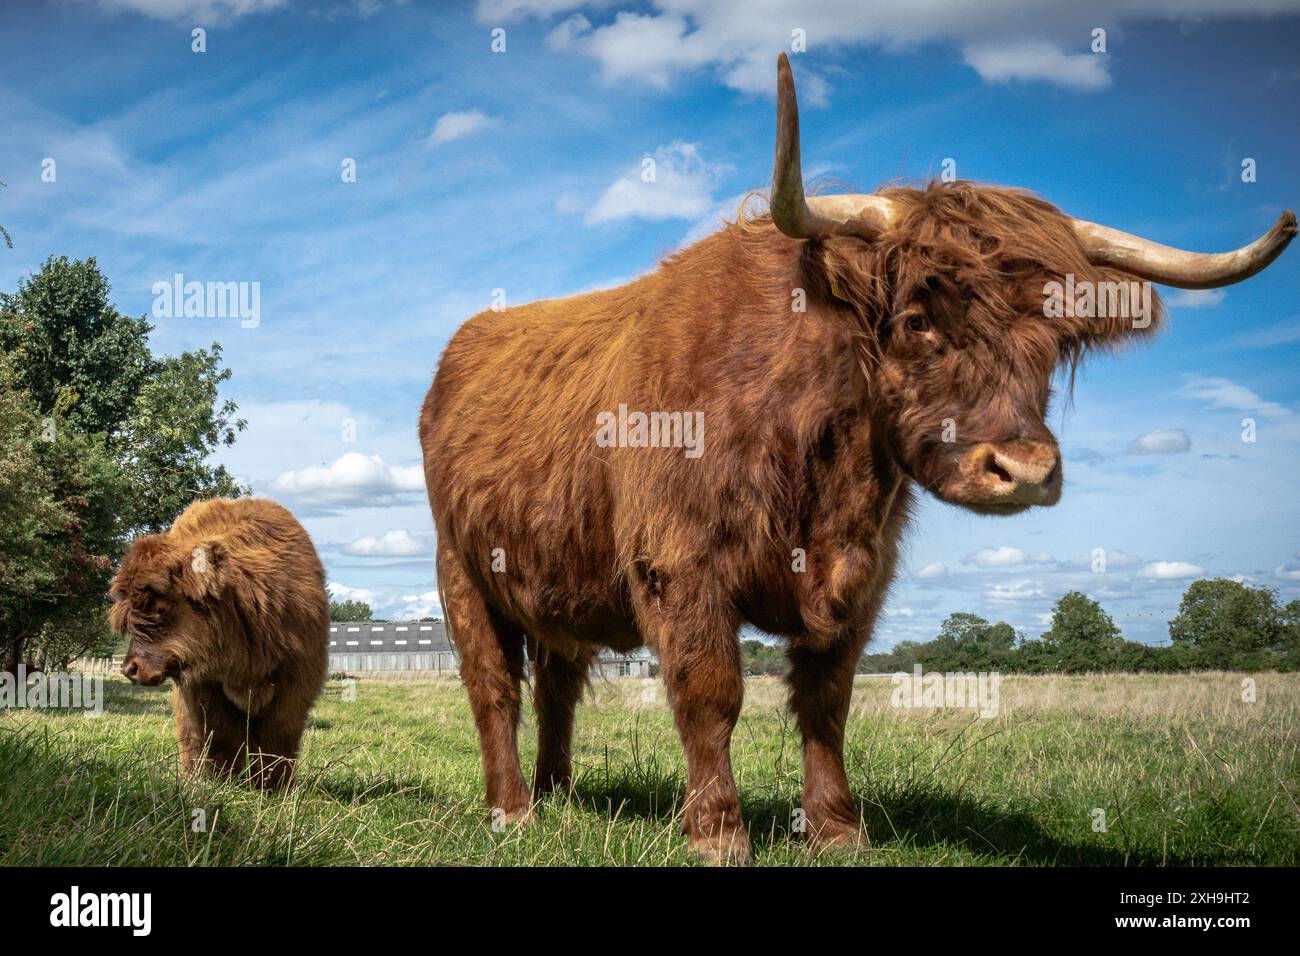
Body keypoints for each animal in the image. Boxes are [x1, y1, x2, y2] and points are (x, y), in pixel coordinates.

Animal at [419, 54, 1294, 863]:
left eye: (1053, 340)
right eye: (916, 318)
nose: (1024, 471)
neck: (822, 462)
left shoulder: (861, 574)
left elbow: (827, 701)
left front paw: (838, 830)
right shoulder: (681, 562)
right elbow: (711, 693)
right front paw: (719, 834)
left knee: (559, 685)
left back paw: (560, 795)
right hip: (461, 568)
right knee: (494, 687)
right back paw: (513, 811)